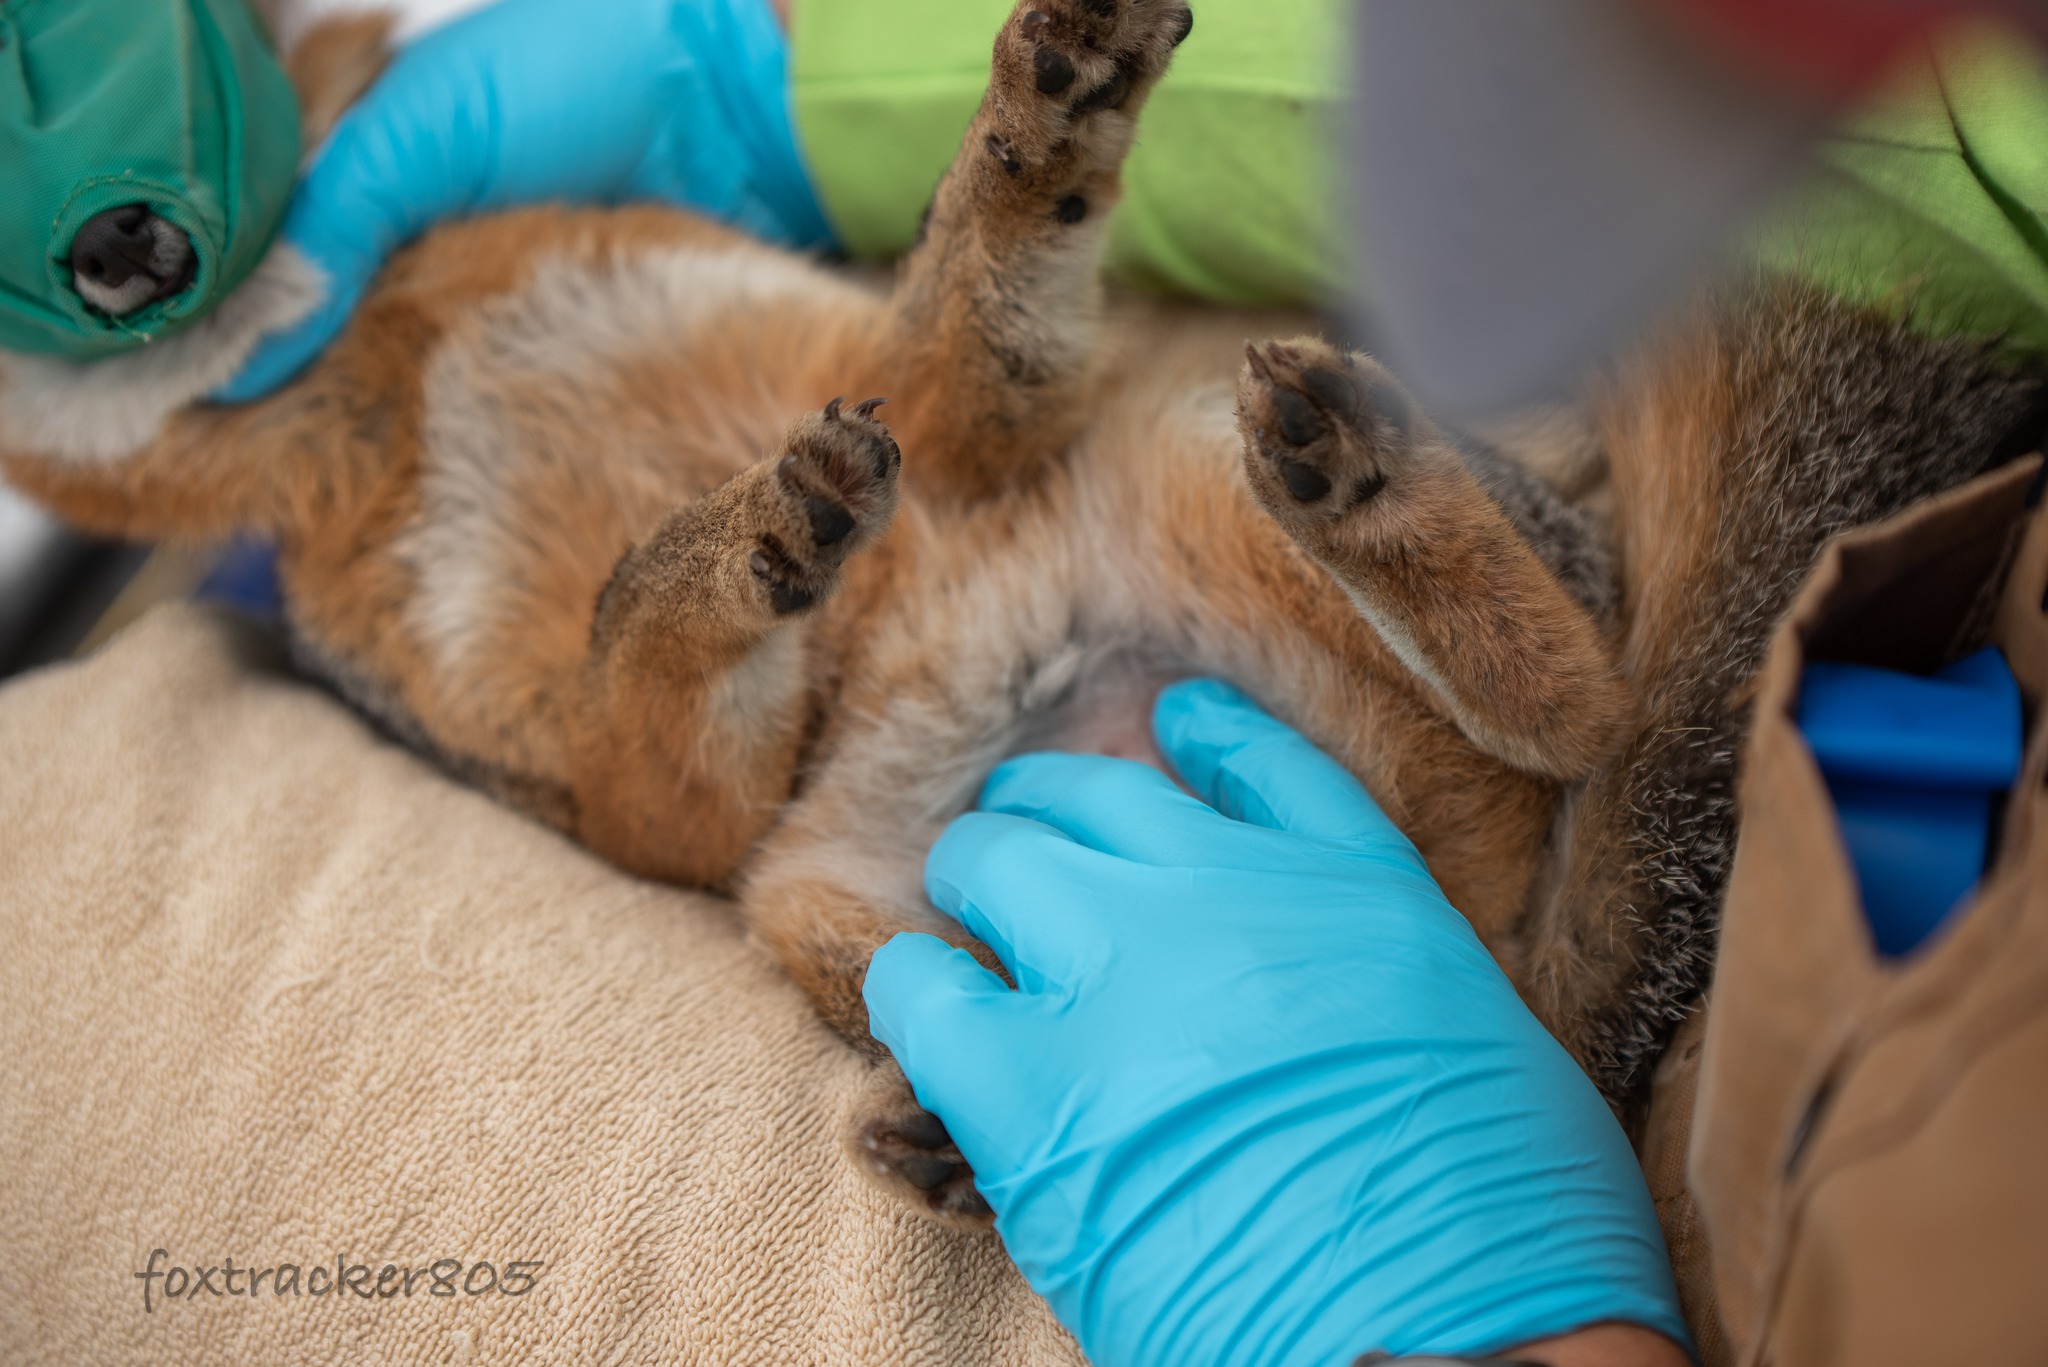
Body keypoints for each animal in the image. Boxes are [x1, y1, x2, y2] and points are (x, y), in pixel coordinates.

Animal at [4, 0, 2042, 1223]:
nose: (117, 242)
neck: (391, 368)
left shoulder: (956, 422)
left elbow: (974, 269)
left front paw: (1043, 122)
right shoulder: (659, 809)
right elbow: (638, 633)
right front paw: (745, 544)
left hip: (1198, 448)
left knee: (1597, 695)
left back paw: (1370, 500)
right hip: (816, 898)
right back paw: (1017, 1133)